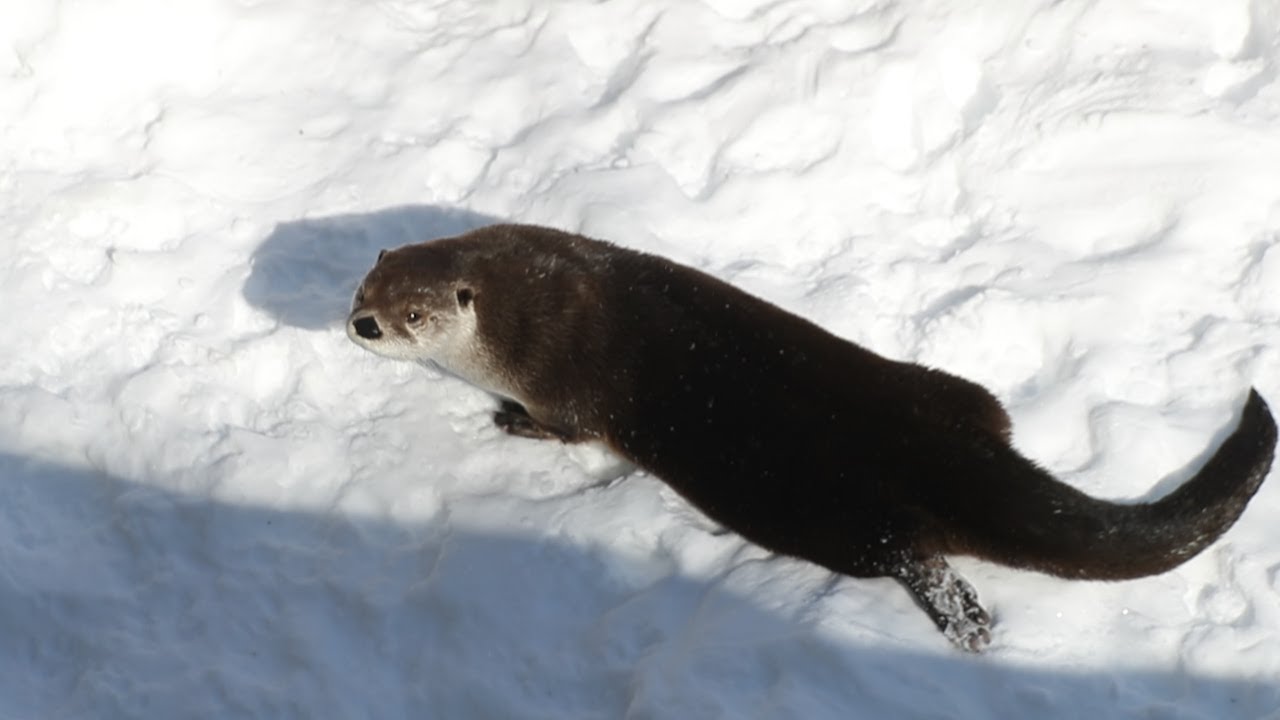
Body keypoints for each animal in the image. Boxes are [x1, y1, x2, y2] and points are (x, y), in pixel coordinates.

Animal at [346, 223, 1276, 651]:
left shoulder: (560, 379)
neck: (519, 299)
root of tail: (948, 455)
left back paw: (968, 626)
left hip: (848, 522)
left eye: (414, 315)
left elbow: (564, 427)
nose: (360, 324)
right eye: (366, 286)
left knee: (911, 554)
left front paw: (508, 421)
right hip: (951, 395)